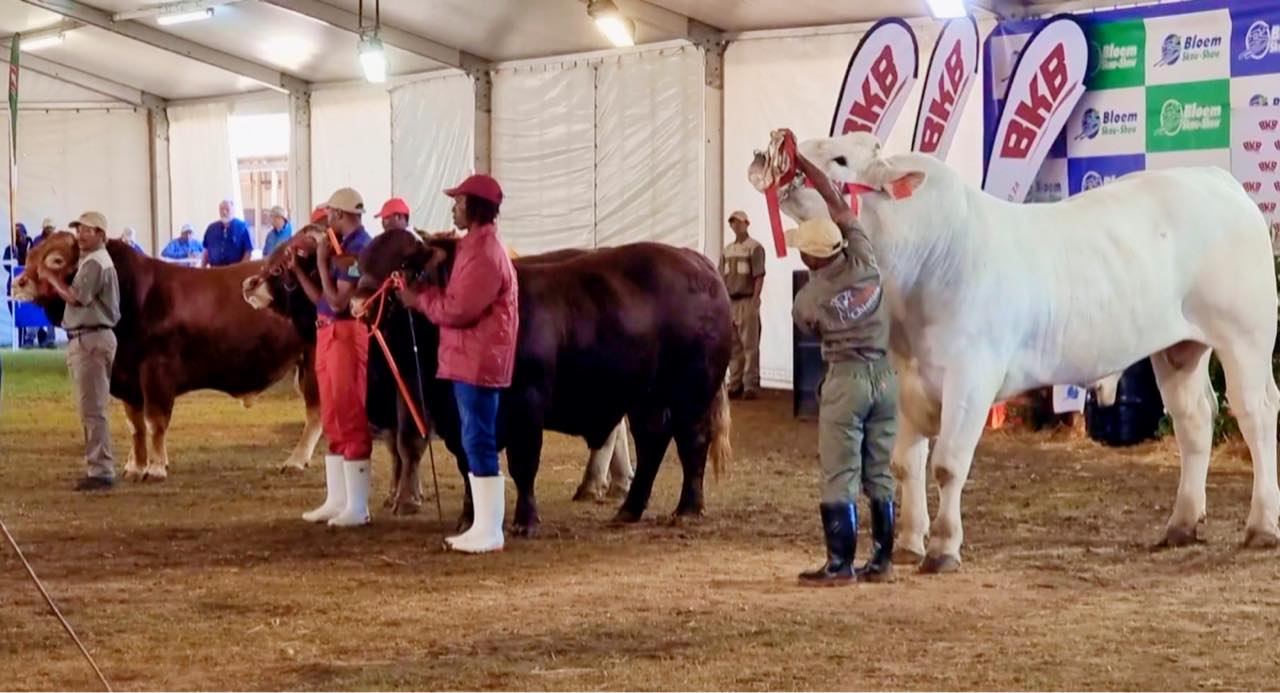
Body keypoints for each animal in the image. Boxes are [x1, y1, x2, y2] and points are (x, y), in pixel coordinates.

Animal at [13, 233, 322, 481]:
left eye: (55, 260)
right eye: (30, 256)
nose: (18, 282)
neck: (131, 293)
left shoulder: (156, 371)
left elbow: (154, 421)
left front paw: (156, 467)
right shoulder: (127, 377)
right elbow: (135, 425)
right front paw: (135, 466)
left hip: (314, 362)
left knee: (315, 414)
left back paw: (295, 461)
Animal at [350, 229, 734, 535]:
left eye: (403, 264)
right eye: (363, 263)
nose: (357, 302)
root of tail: (699, 263)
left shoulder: (527, 405)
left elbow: (523, 464)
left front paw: (525, 520)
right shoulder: (457, 418)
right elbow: (469, 466)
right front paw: (469, 519)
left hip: (692, 393)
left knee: (692, 443)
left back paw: (687, 509)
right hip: (646, 401)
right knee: (652, 442)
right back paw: (629, 509)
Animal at [750, 129, 1280, 572]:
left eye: (840, 159)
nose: (777, 151)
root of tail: (1216, 179)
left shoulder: (971, 377)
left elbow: (947, 464)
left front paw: (943, 548)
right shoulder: (905, 378)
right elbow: (906, 463)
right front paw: (909, 542)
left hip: (1246, 334)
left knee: (1255, 414)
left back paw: (1261, 526)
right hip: (1180, 348)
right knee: (1195, 419)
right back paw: (1182, 524)